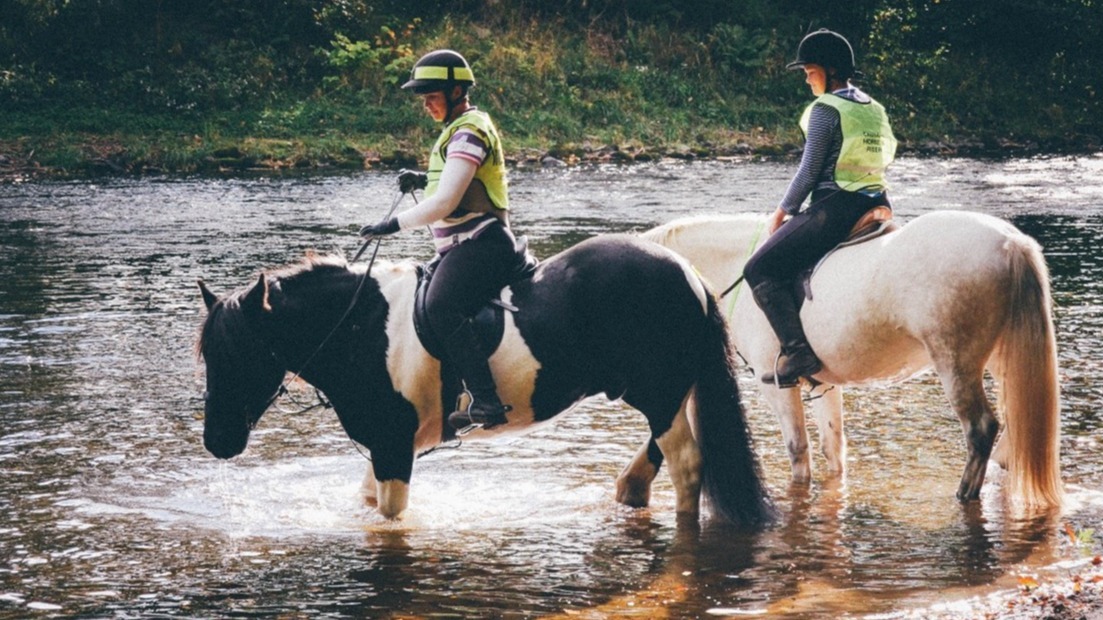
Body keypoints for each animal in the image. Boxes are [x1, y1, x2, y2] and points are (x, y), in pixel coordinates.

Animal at [196, 235, 775, 527]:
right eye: (208, 356)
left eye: (242, 353)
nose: (217, 443)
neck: (361, 327)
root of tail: (685, 270)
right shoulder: (391, 445)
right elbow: (367, 504)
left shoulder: (393, 447)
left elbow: (392, 517)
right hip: (661, 391)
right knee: (660, 454)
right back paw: (629, 489)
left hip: (658, 390)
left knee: (687, 465)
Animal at [641, 211, 1062, 508]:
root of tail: (1009, 242)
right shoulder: (825, 385)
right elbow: (833, 450)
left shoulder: (775, 385)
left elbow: (798, 452)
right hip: (998, 358)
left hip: (955, 361)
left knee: (981, 429)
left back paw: (964, 494)